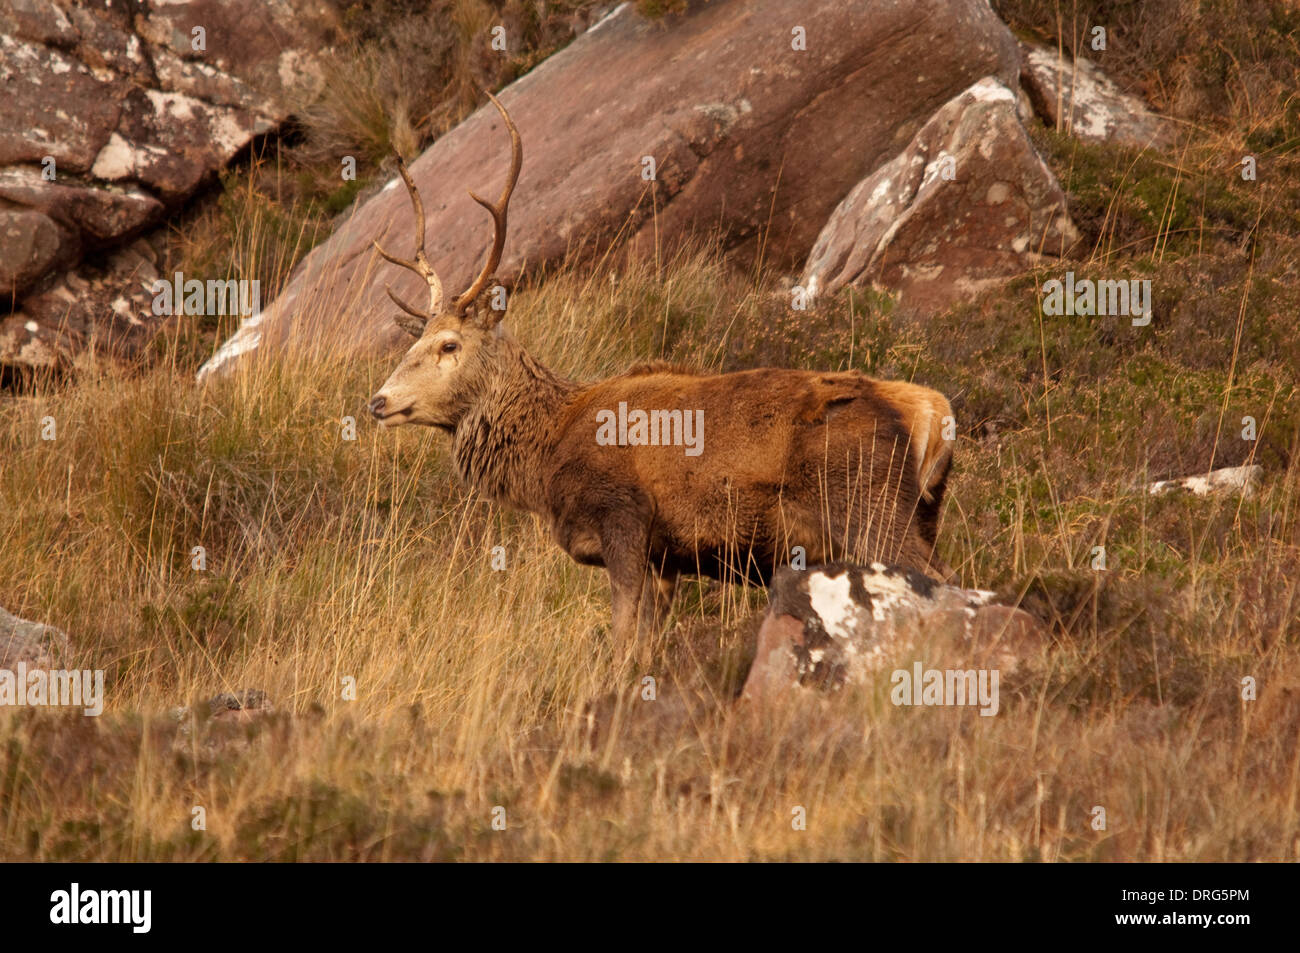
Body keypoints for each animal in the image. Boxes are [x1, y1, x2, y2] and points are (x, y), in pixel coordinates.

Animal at [367, 92, 955, 643]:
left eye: (448, 345)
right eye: (417, 341)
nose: (377, 401)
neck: (546, 455)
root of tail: (932, 412)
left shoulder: (625, 519)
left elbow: (623, 640)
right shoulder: (667, 558)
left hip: (870, 504)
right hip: (920, 515)